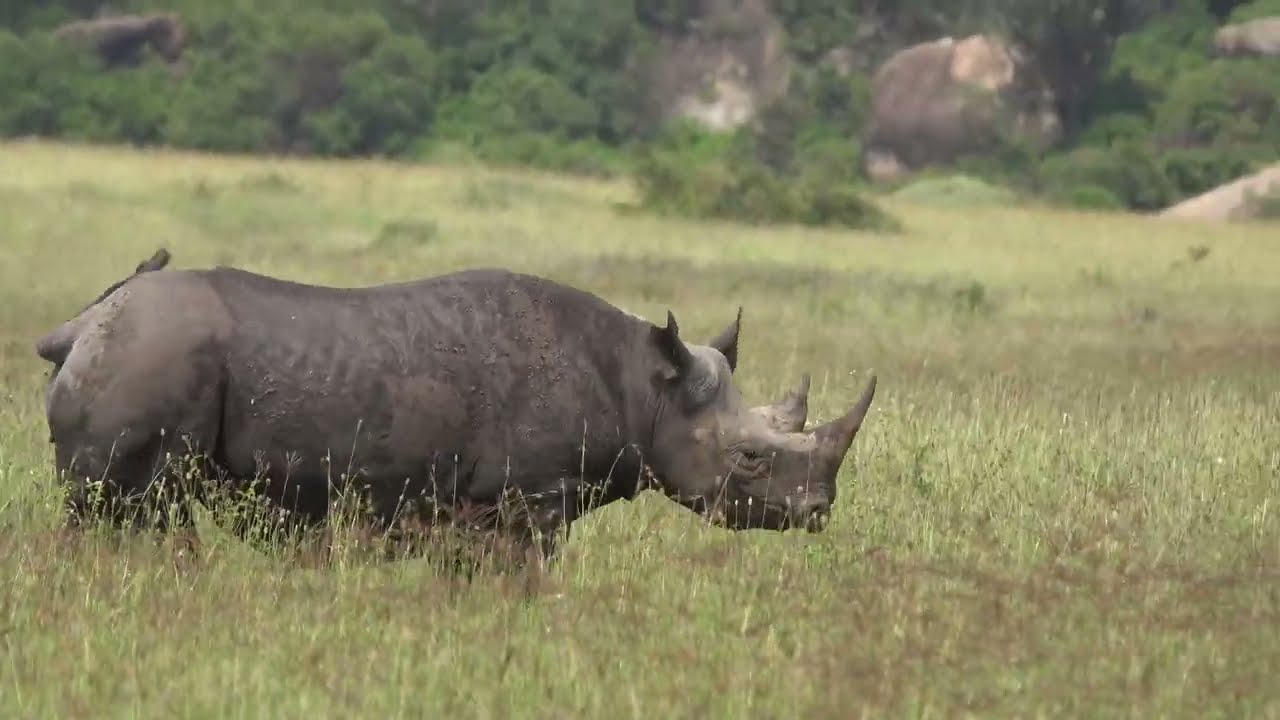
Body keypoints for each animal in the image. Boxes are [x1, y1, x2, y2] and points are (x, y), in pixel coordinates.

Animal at [35, 250, 877, 565]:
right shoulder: (531, 496)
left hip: (138, 351)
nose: (818, 511)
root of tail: (82, 326)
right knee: (133, 505)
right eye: (750, 458)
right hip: (150, 356)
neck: (648, 387)